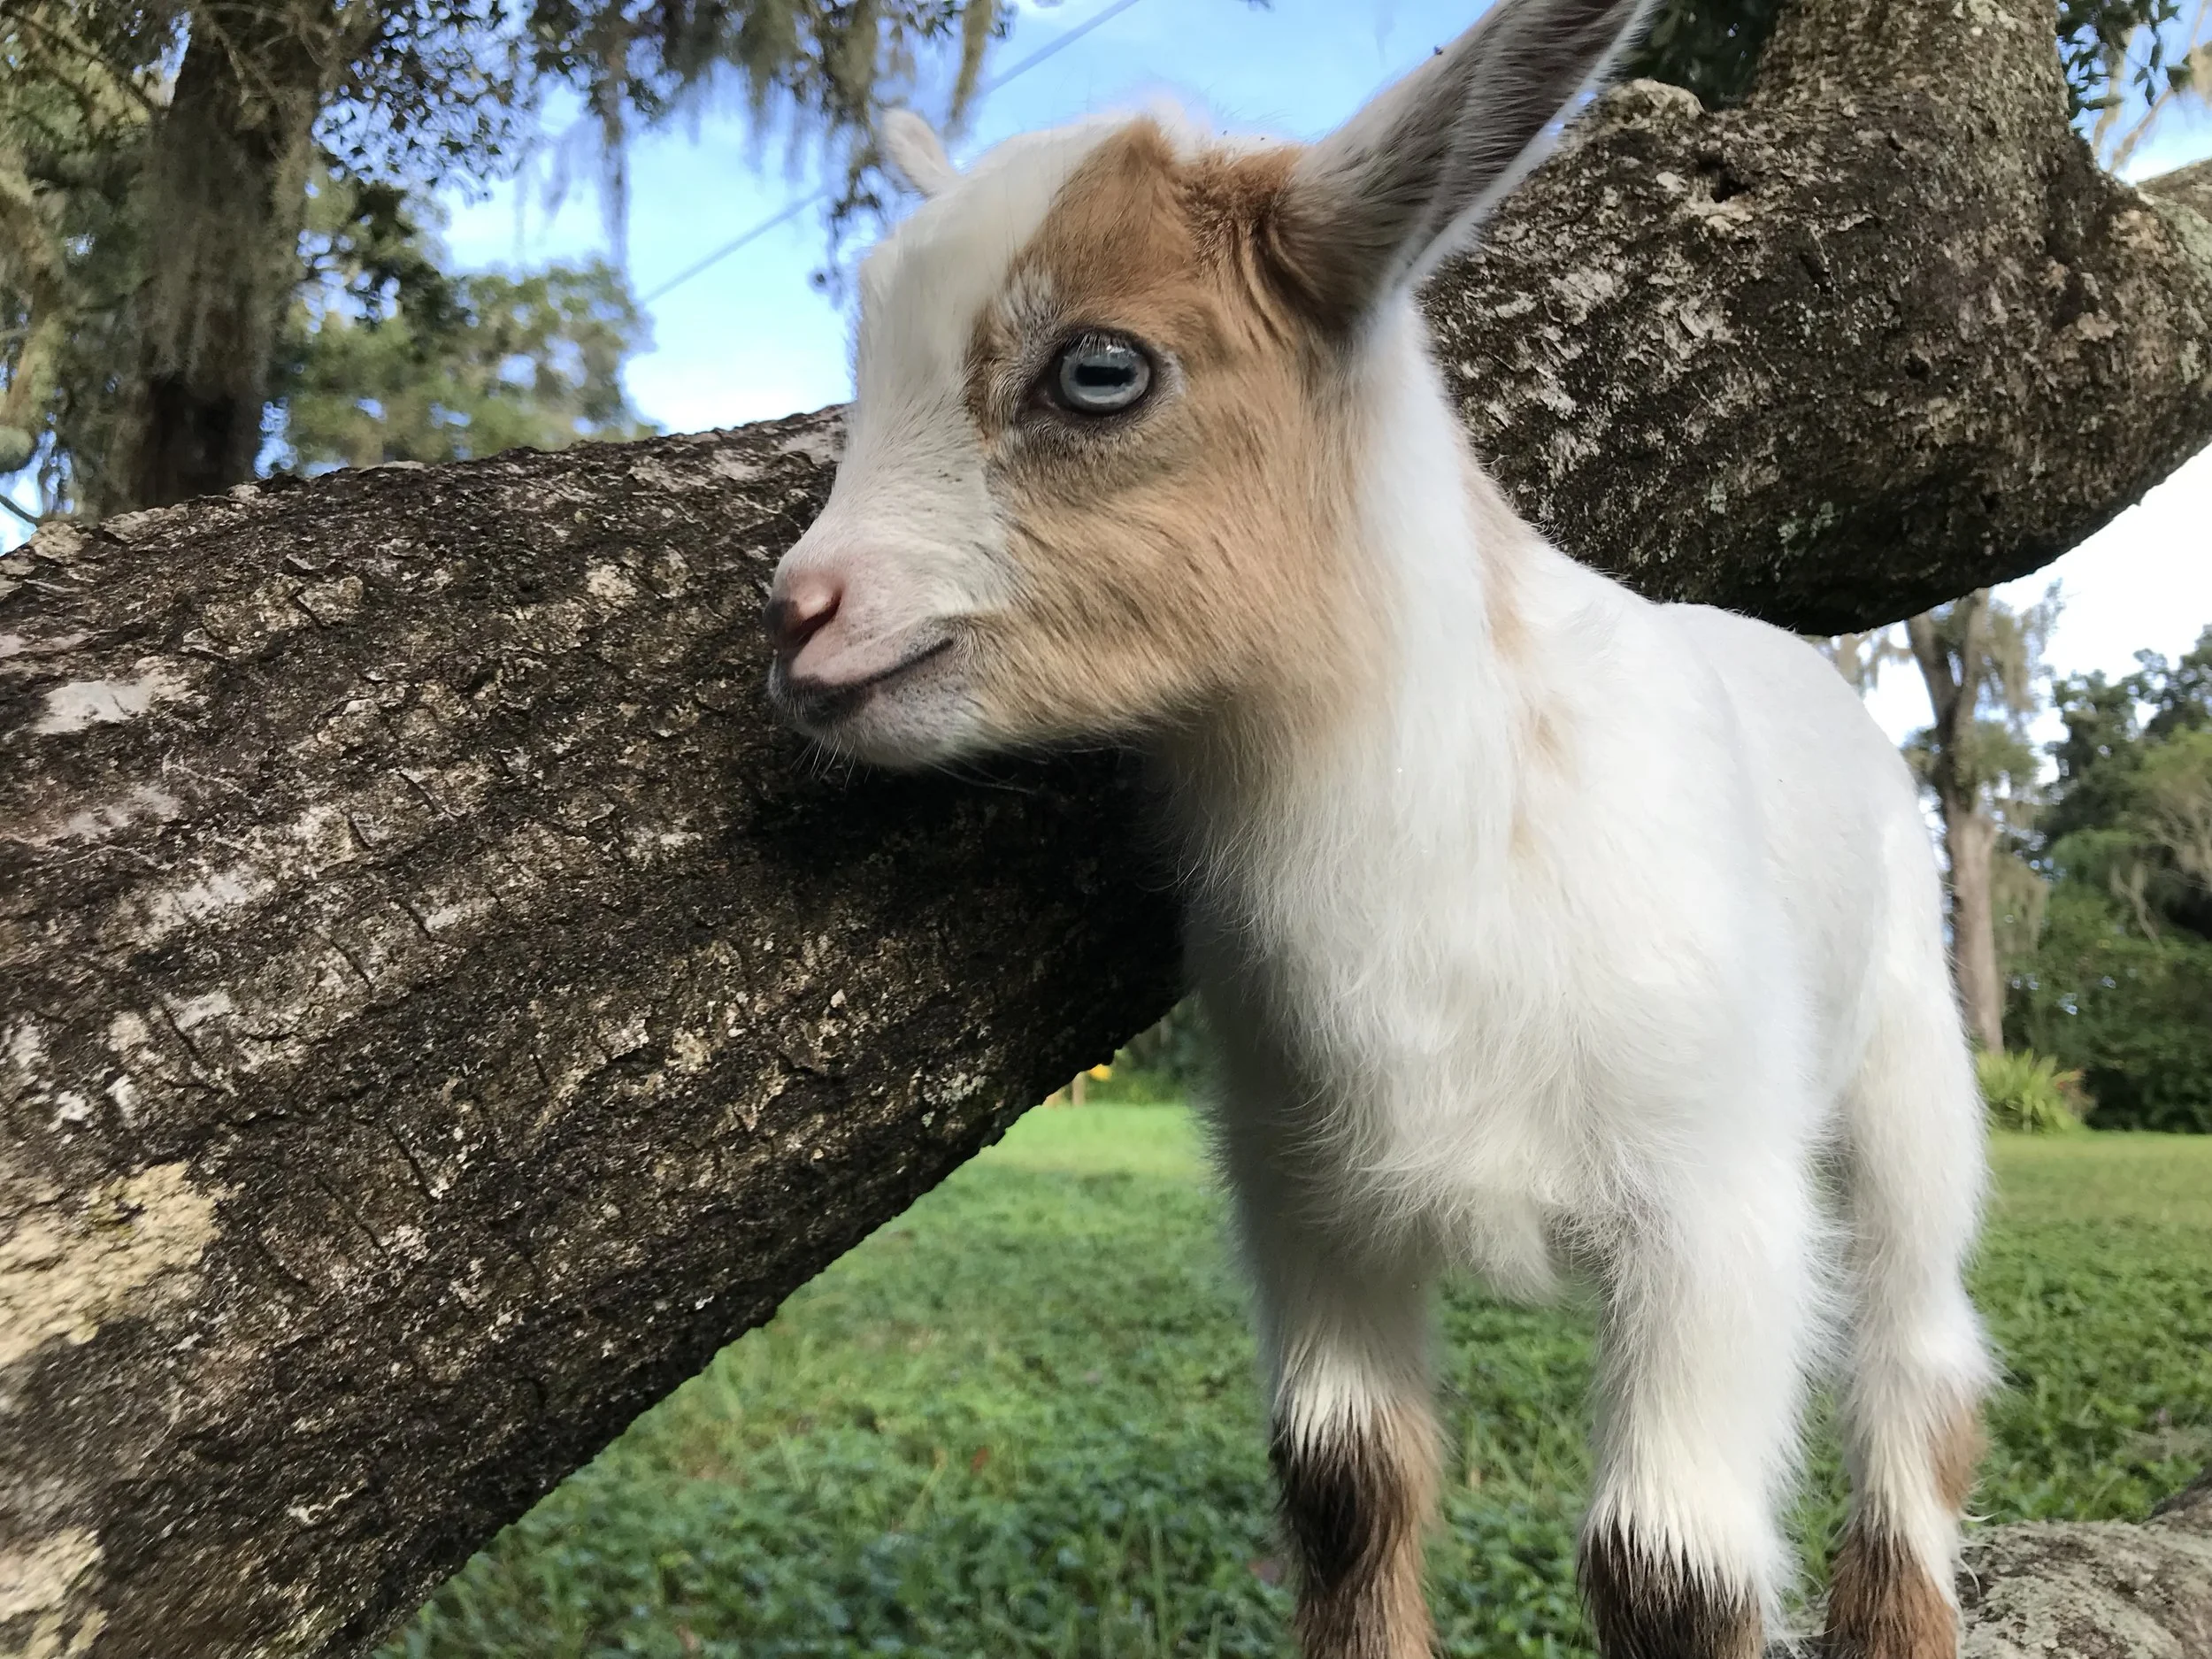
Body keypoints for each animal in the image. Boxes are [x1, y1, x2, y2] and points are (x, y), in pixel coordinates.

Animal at [760, 2, 1993, 1653]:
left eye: (1100, 368)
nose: (801, 615)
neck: (1453, 871)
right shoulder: (1305, 1194)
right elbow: (1346, 1489)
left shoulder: (1715, 1204)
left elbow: (1670, 1573)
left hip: (1910, 1053)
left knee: (1918, 1348)